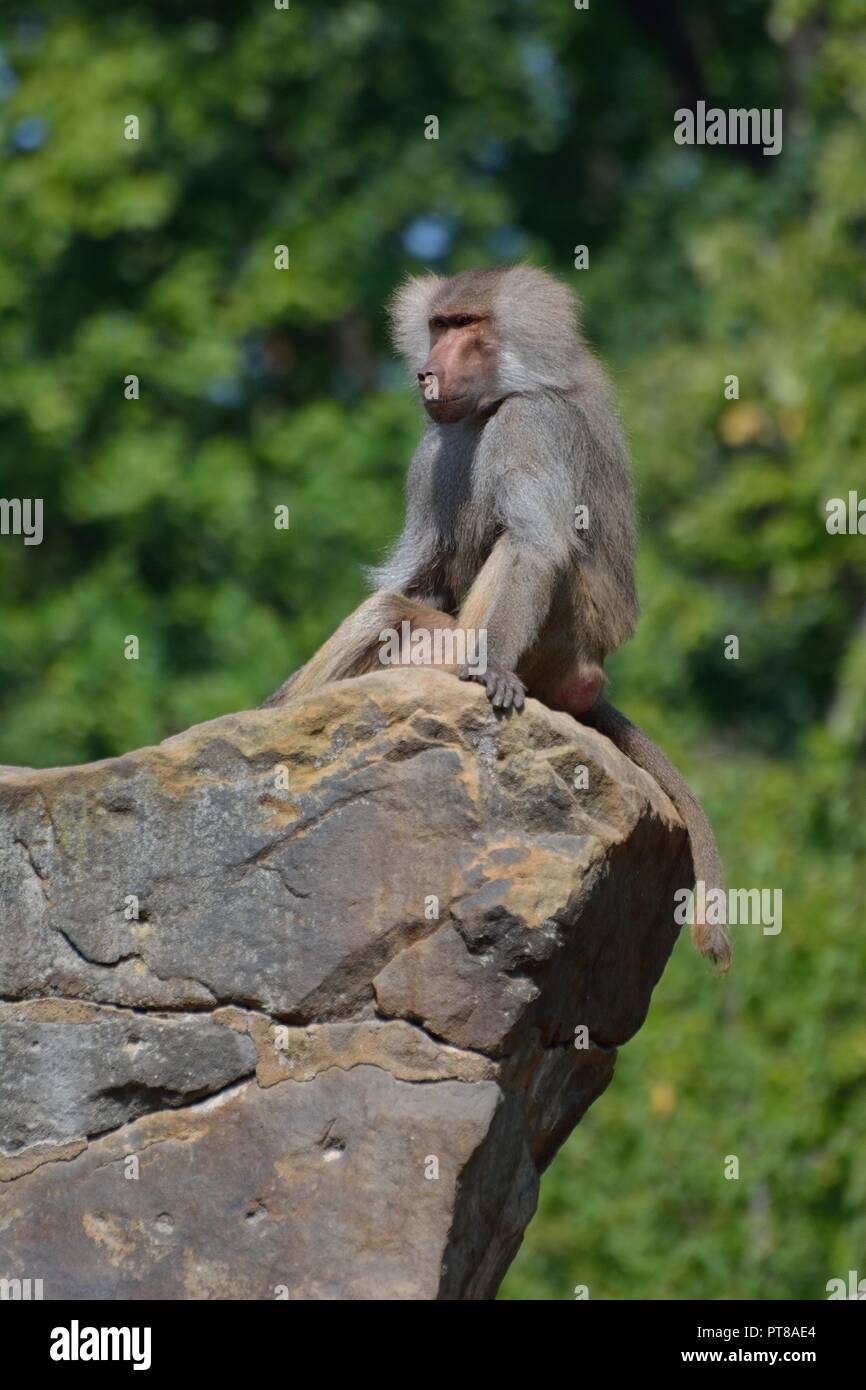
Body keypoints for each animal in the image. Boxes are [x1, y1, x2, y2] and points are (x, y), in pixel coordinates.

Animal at [263, 264, 731, 971]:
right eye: (437, 325)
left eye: (467, 327)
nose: (425, 374)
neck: (505, 391)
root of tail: (593, 675)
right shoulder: (433, 448)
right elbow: (418, 576)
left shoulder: (528, 424)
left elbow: (534, 546)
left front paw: (496, 671)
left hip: (554, 641)